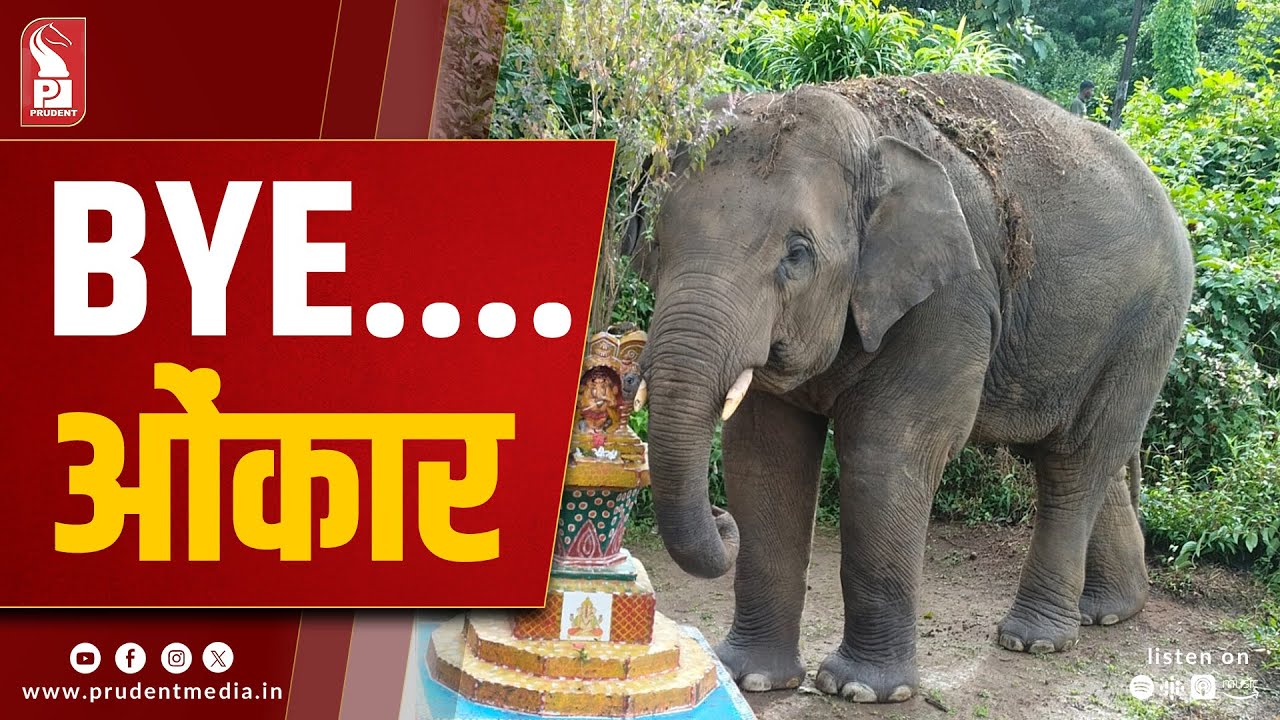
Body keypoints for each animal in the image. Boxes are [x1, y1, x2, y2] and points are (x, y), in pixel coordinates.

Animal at [631, 74, 1194, 704]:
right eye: (656, 241)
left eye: (797, 255)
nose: (723, 524)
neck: (869, 133)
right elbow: (762, 456)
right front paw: (751, 676)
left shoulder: (953, 298)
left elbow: (887, 450)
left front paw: (862, 690)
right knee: (1090, 456)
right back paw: (1108, 612)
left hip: (1147, 324)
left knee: (1074, 463)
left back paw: (1034, 640)